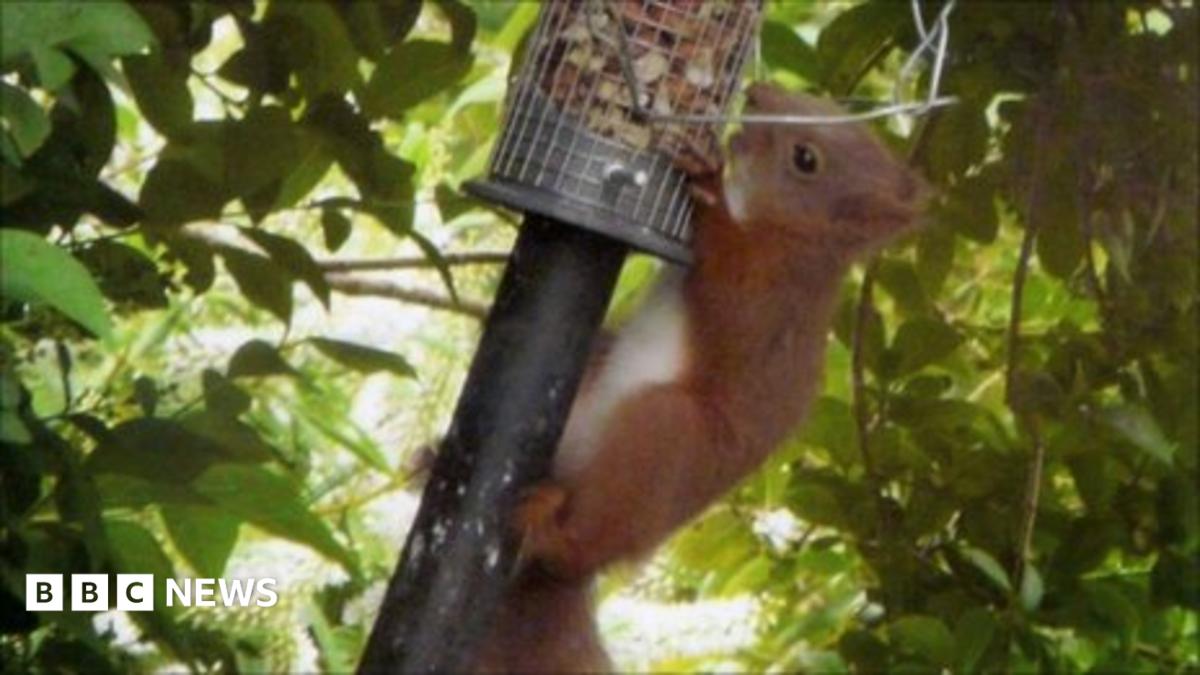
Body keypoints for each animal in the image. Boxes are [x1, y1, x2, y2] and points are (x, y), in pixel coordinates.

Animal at [475, 83, 926, 672]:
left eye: (806, 159)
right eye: (827, 105)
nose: (757, 93)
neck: (788, 234)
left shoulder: (765, 305)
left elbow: (725, 283)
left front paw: (706, 180)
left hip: (666, 439)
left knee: (585, 539)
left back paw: (548, 530)